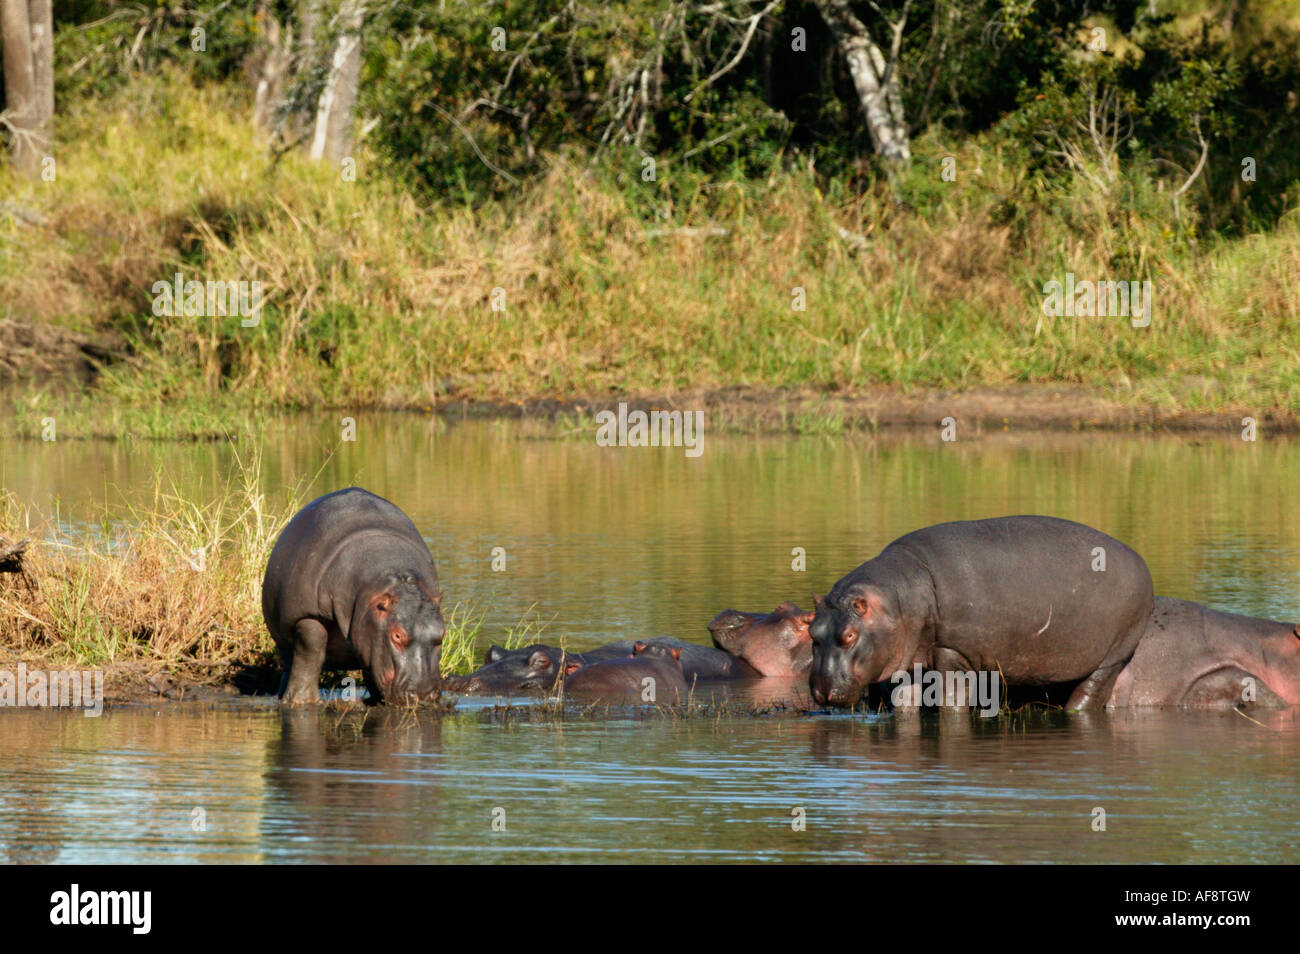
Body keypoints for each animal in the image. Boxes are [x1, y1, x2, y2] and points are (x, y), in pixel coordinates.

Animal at [261, 487, 445, 705]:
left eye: (442, 634)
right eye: (397, 635)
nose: (424, 694)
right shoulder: (307, 615)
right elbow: (311, 650)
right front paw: (304, 701)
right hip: (282, 638)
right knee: (291, 663)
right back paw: (282, 696)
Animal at [809, 515, 1154, 711]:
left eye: (849, 634)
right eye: (812, 632)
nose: (822, 690)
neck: (900, 599)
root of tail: (1140, 561)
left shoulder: (954, 652)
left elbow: (951, 701)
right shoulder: (908, 660)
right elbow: (905, 704)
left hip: (1113, 656)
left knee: (1090, 693)